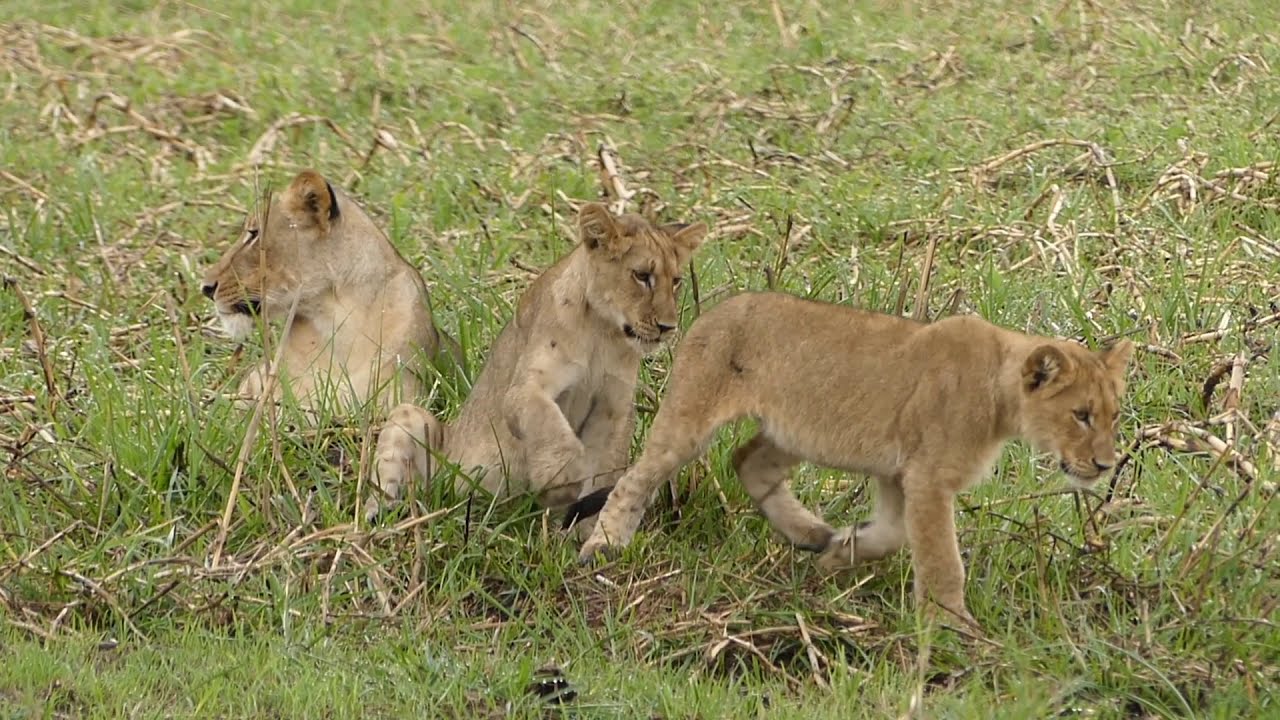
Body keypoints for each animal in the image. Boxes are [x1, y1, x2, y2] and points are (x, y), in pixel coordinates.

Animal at [368, 202, 709, 522]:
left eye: (676, 281)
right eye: (641, 276)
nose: (667, 327)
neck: (603, 333)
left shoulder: (613, 407)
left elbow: (605, 469)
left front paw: (591, 532)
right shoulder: (525, 389)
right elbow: (548, 422)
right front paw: (560, 477)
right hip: (411, 417)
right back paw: (387, 512)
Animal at [578, 292, 1134, 627]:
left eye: (1112, 415)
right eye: (1081, 415)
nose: (1107, 466)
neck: (1001, 395)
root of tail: (714, 308)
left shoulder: (899, 473)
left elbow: (892, 534)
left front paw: (837, 556)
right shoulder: (928, 477)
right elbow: (942, 560)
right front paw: (954, 627)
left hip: (796, 431)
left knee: (747, 461)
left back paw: (811, 533)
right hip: (691, 417)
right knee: (635, 477)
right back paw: (602, 547)